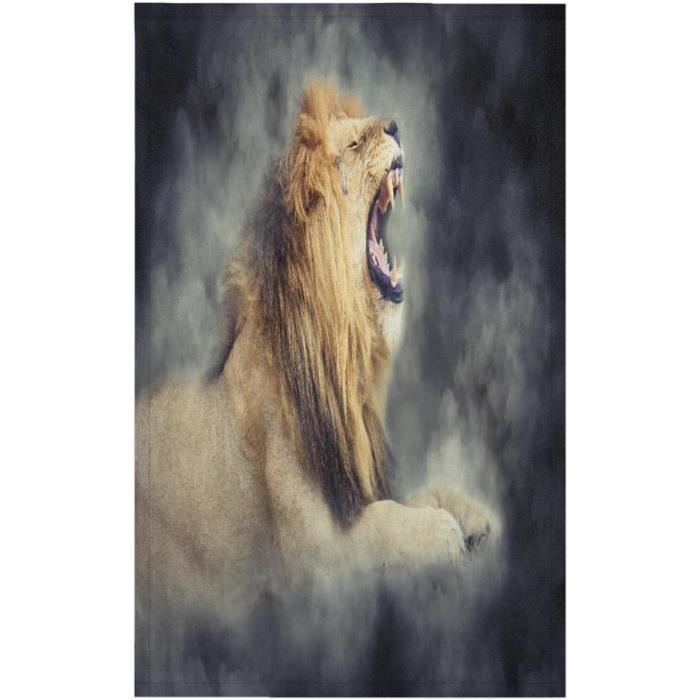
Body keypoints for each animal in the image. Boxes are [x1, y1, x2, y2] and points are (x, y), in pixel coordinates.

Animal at [136, 83, 494, 682]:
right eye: (352, 143)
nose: (395, 124)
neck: (342, 357)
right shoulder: (314, 557)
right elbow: (386, 522)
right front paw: (440, 531)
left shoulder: (358, 481)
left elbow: (421, 493)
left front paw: (471, 513)